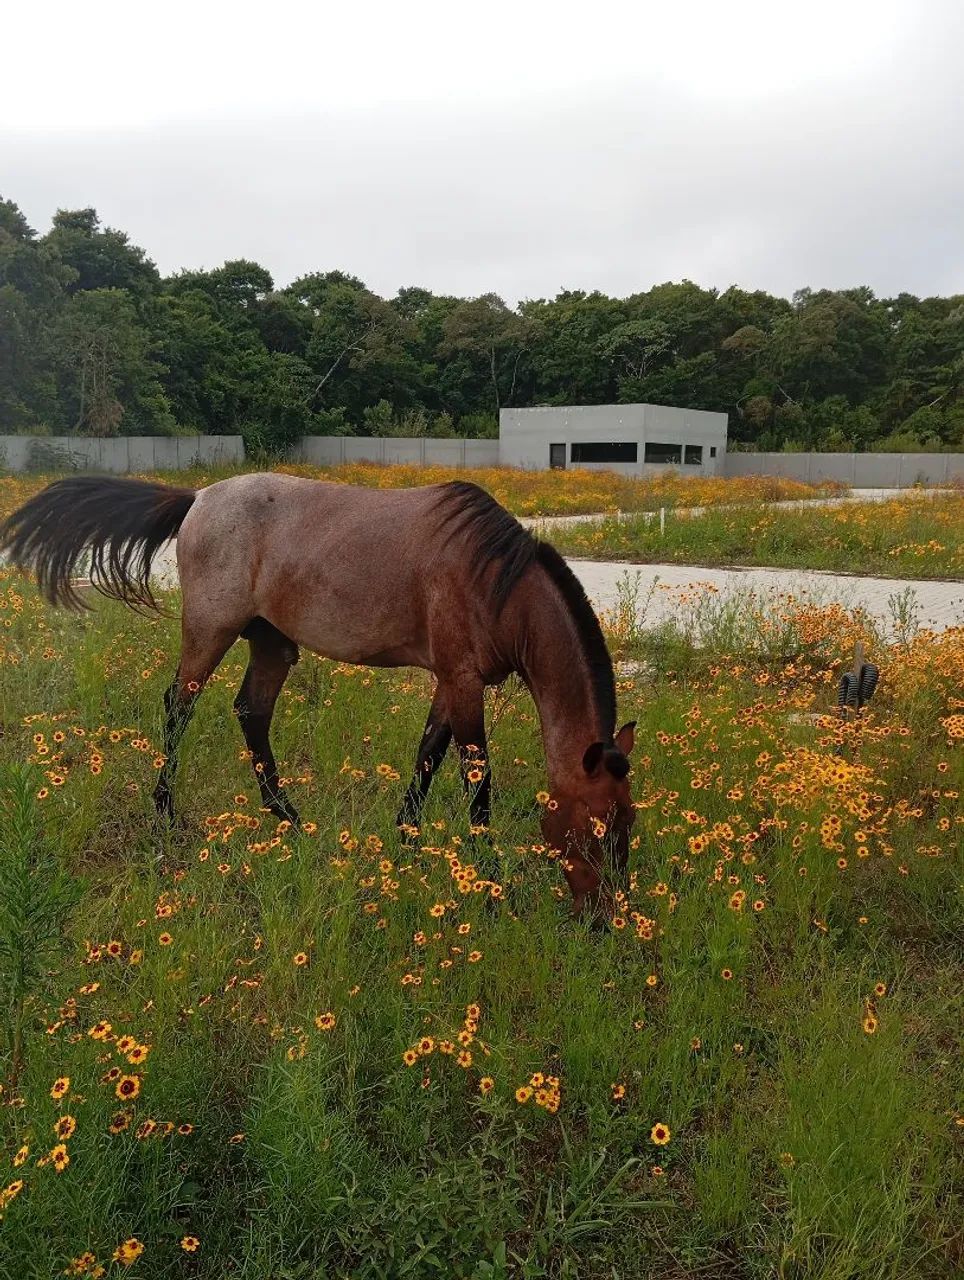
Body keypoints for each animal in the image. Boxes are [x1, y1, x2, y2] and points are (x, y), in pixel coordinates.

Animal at [1, 473, 636, 919]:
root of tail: (200, 498)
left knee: (250, 712)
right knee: (178, 707)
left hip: (272, 643)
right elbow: (475, 780)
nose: (603, 918)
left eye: (628, 822)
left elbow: (427, 756)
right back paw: (165, 810)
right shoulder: (463, 682)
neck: (497, 584)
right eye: (597, 827)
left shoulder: (450, 683)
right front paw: (487, 880)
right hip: (210, 630)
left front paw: (405, 842)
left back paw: (285, 815)